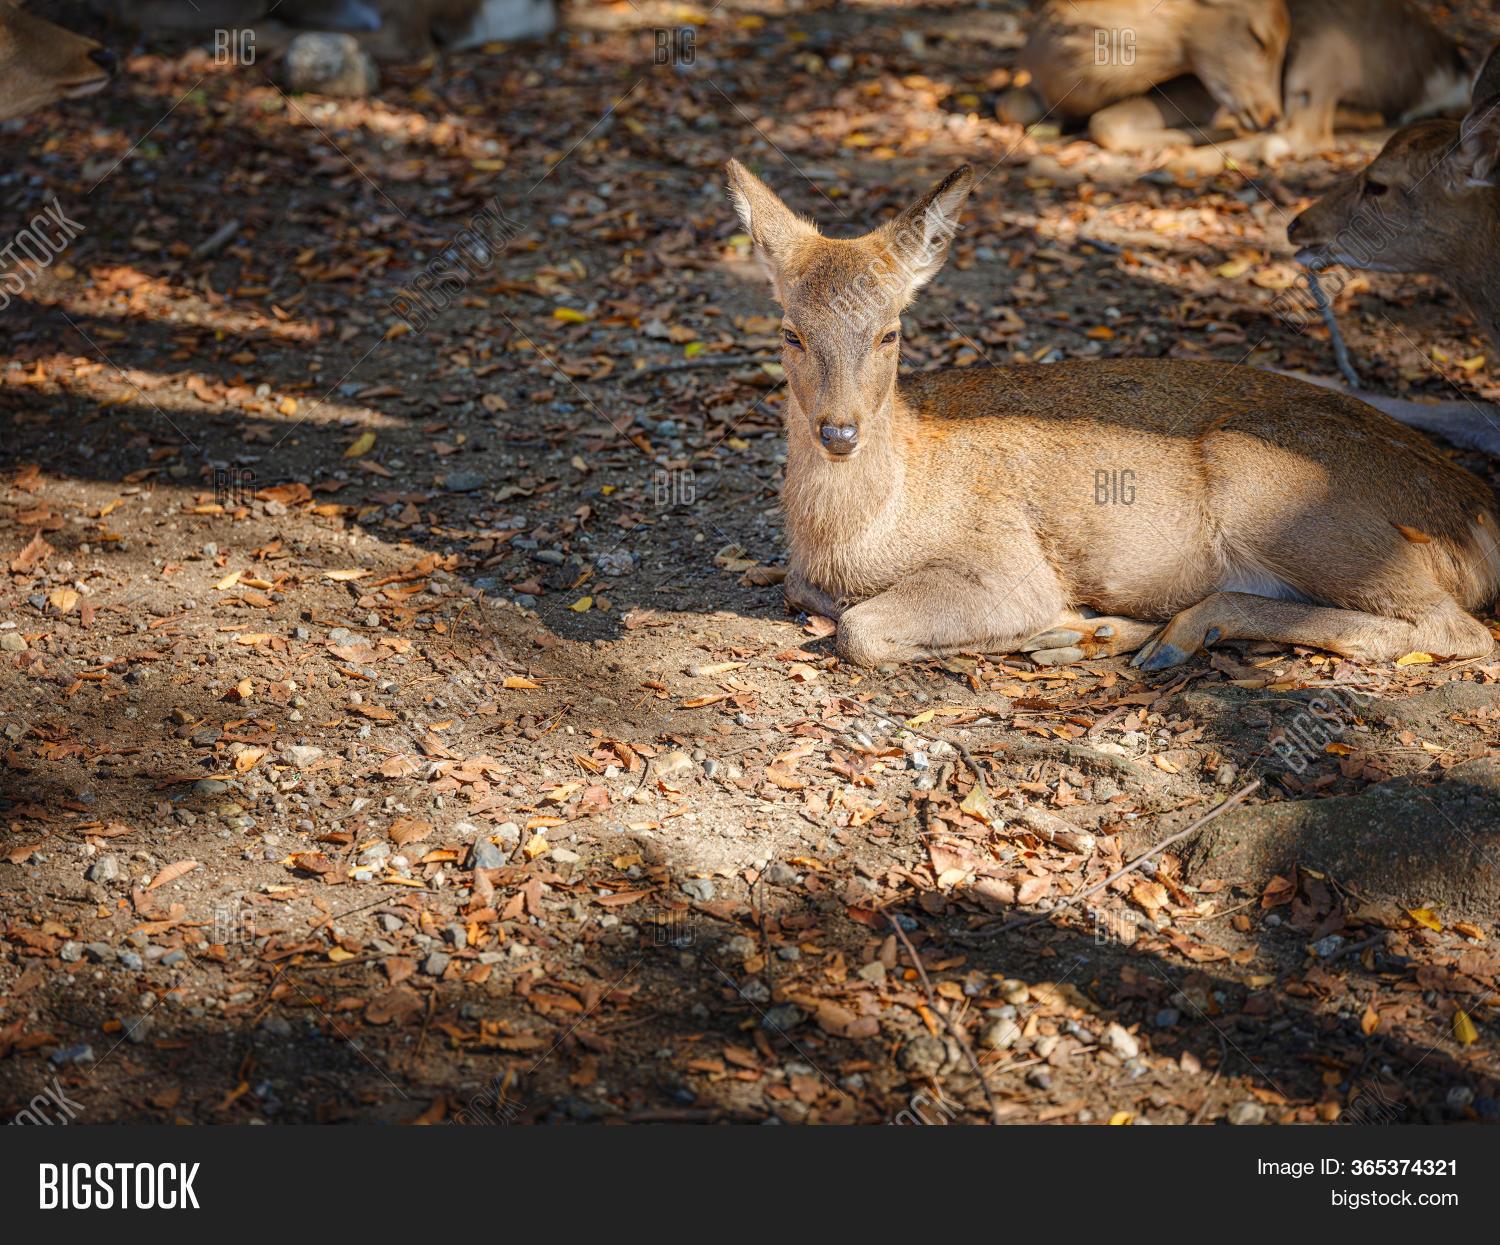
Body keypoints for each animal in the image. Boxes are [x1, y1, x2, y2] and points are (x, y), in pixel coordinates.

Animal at [724, 157, 1500, 670]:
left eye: (890, 332)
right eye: (791, 332)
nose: (839, 431)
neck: (856, 537)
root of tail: (1476, 510)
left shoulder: (1003, 559)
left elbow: (861, 630)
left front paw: (1061, 624)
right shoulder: (807, 573)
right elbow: (804, 593)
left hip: (1280, 494)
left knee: (1458, 630)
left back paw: (1138, 634)